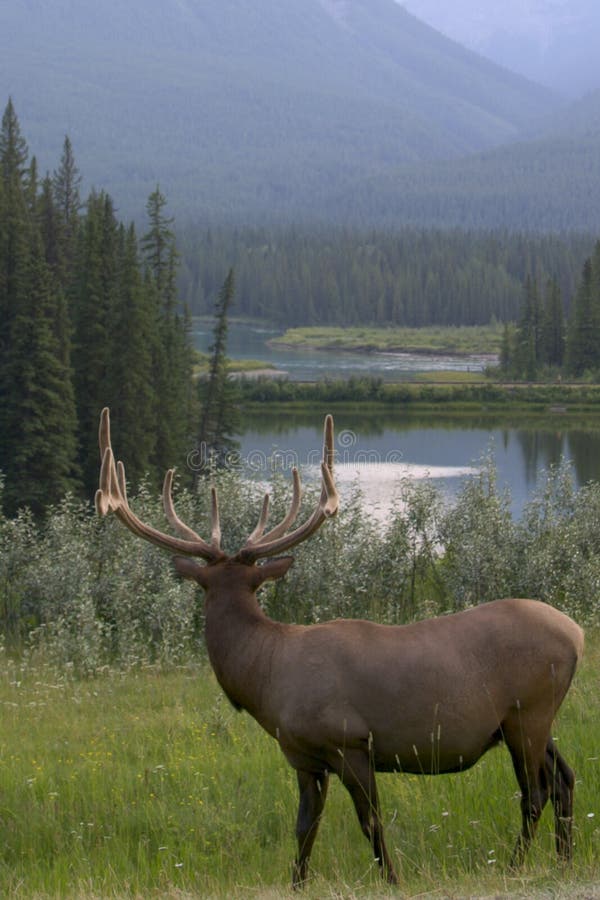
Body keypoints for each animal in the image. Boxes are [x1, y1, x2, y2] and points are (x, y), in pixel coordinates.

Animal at [96, 407, 584, 888]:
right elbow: (304, 826)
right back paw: (563, 862)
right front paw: (297, 883)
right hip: (530, 719)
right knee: (565, 778)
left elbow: (371, 822)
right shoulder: (304, 757)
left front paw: (392, 879)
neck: (265, 680)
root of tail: (577, 634)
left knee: (535, 791)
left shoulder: (349, 741)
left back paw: (515, 865)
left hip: (527, 711)